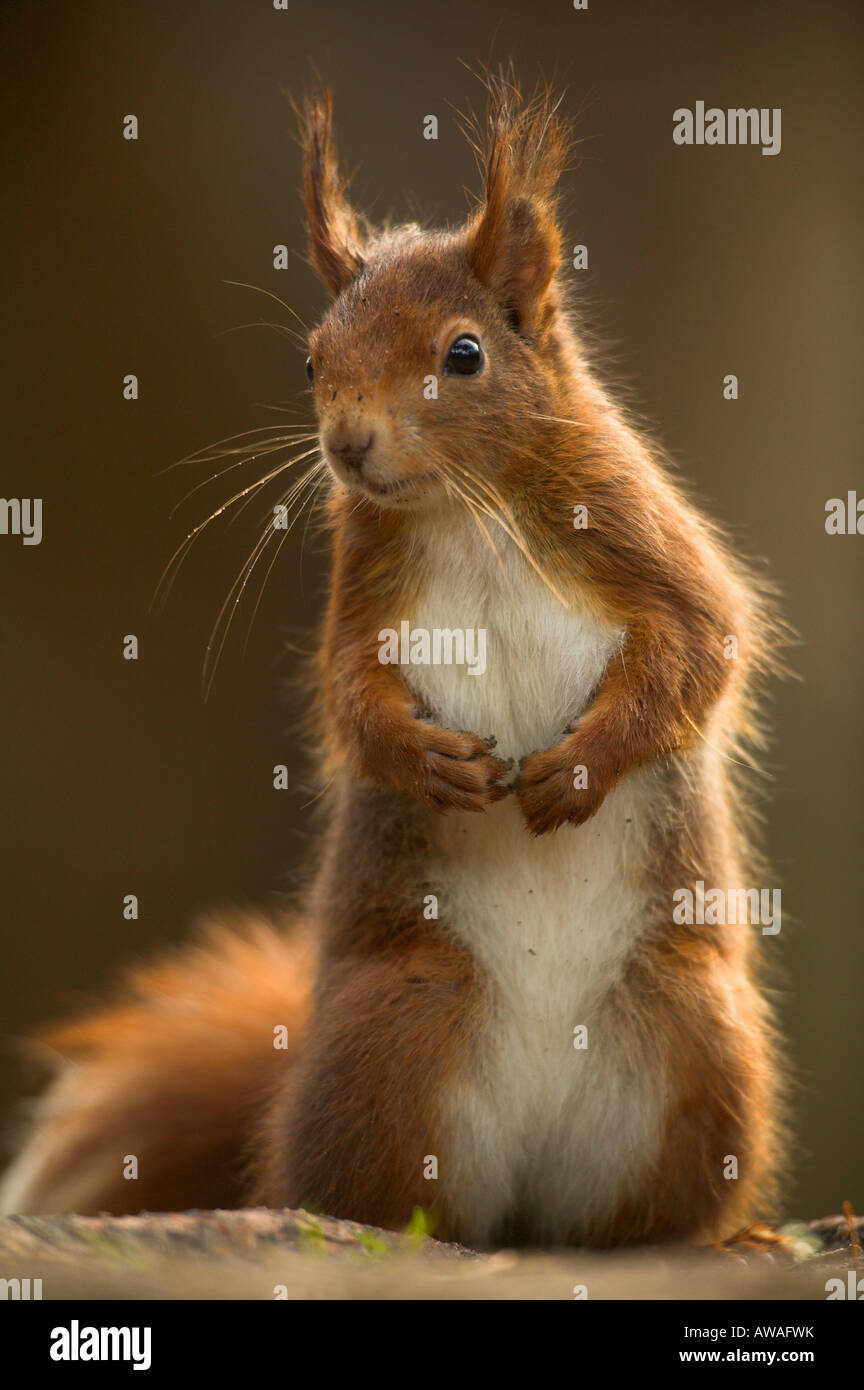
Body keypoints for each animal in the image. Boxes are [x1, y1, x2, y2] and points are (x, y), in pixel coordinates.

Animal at [0, 80, 786, 1249]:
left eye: (464, 354)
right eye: (310, 359)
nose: (348, 446)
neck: (465, 507)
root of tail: (526, 1203)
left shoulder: (643, 543)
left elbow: (700, 647)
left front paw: (578, 770)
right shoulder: (362, 595)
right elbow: (348, 701)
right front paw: (428, 762)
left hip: (699, 1037)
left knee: (638, 1212)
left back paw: (706, 1234)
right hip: (396, 1035)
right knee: (365, 1193)